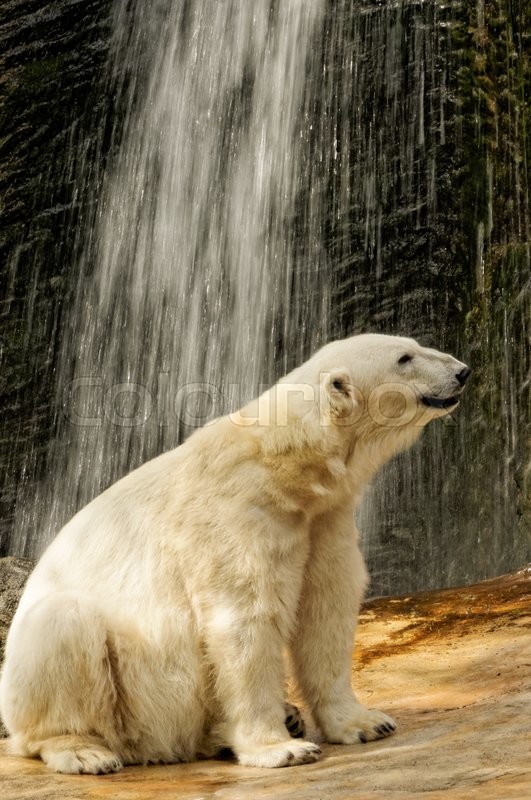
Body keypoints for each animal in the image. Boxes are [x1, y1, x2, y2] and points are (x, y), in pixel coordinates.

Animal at [0, 333, 470, 773]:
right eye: (404, 358)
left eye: (412, 345)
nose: (462, 371)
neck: (287, 467)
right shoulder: (237, 516)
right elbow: (246, 620)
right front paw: (282, 749)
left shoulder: (324, 520)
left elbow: (325, 610)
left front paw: (366, 722)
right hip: (105, 693)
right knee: (63, 626)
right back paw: (84, 751)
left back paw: (278, 717)